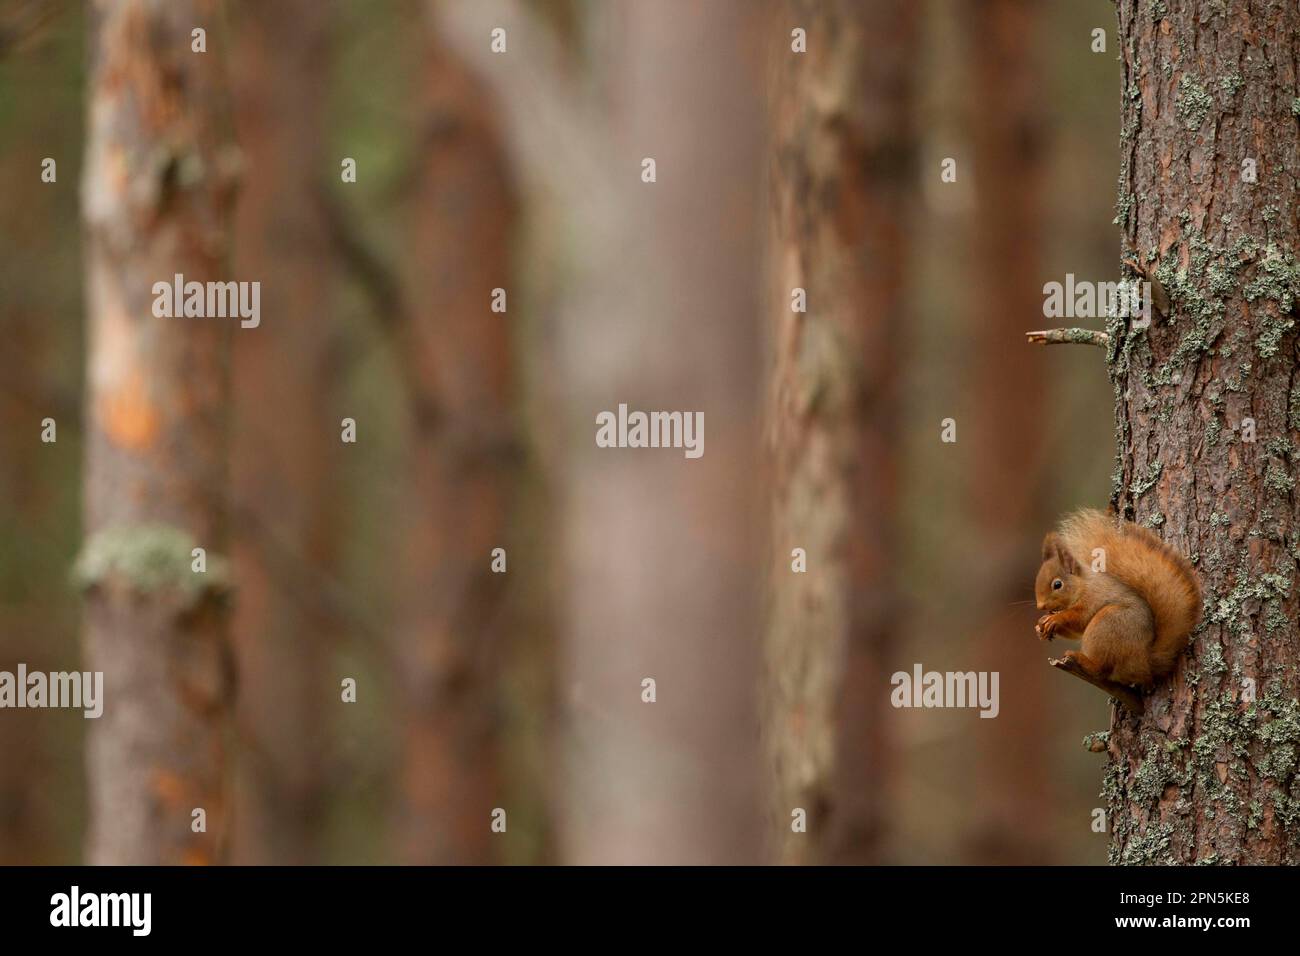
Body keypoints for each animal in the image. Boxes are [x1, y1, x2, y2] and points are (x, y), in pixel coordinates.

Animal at [1034, 508, 1202, 708]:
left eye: (1057, 584)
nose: (1040, 606)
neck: (1083, 584)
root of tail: (1145, 663)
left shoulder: (1093, 597)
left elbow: (1080, 619)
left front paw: (1055, 619)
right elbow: (1074, 631)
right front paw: (1041, 625)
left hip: (1106, 625)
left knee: (1101, 669)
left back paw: (1082, 660)